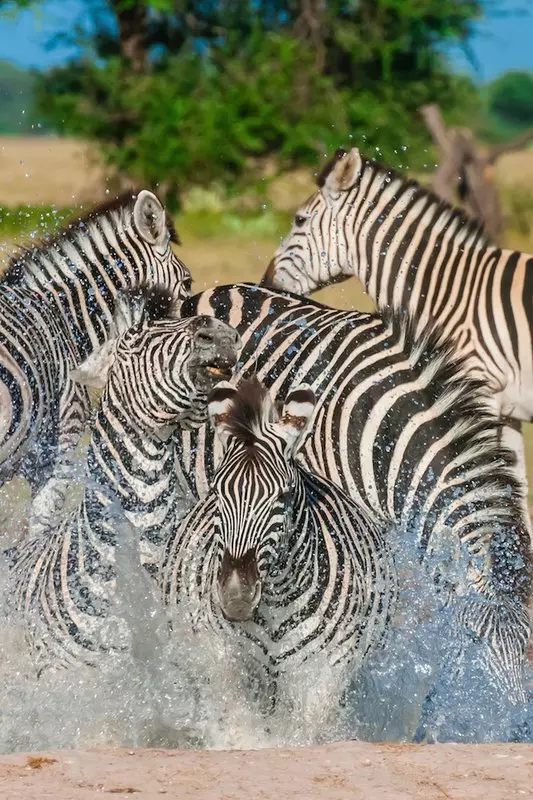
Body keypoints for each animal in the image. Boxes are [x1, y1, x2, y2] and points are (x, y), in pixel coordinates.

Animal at [160, 378, 392, 748]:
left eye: (282, 496)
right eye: (217, 493)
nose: (236, 595)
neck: (273, 603)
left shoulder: (324, 672)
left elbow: (301, 732)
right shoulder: (222, 659)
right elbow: (237, 724)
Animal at [260, 146, 532, 520]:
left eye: (299, 220)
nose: (265, 281)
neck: (445, 287)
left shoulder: (479, 392)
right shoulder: (506, 408)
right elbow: (513, 486)